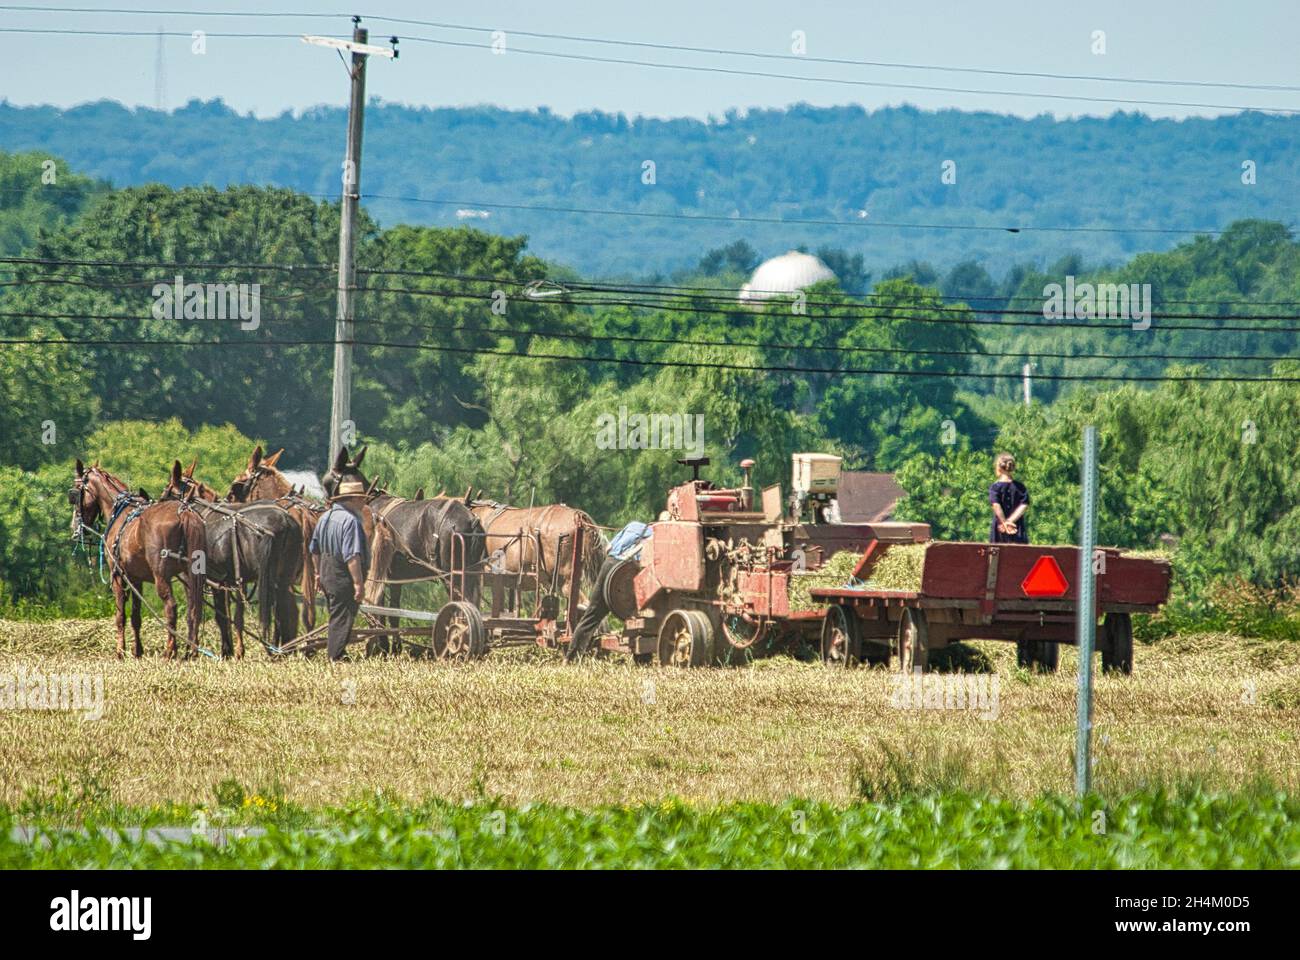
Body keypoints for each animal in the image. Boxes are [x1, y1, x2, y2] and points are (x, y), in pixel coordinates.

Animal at [70, 460, 207, 659]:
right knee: (195, 608)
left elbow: (120, 615)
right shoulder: (136, 579)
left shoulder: (118, 576)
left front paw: (120, 651)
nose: (74, 527)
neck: (119, 512)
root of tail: (184, 512)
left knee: (171, 607)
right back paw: (192, 651)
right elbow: (136, 616)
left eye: (74, 493)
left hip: (161, 576)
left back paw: (170, 651)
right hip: (190, 575)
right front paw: (137, 651)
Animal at [161, 461, 302, 659]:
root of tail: (284, 521)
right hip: (282, 578)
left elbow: (197, 612)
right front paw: (229, 650)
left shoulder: (198, 578)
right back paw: (283, 649)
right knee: (284, 609)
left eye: (166, 491)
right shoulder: (225, 581)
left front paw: (191, 651)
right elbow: (226, 615)